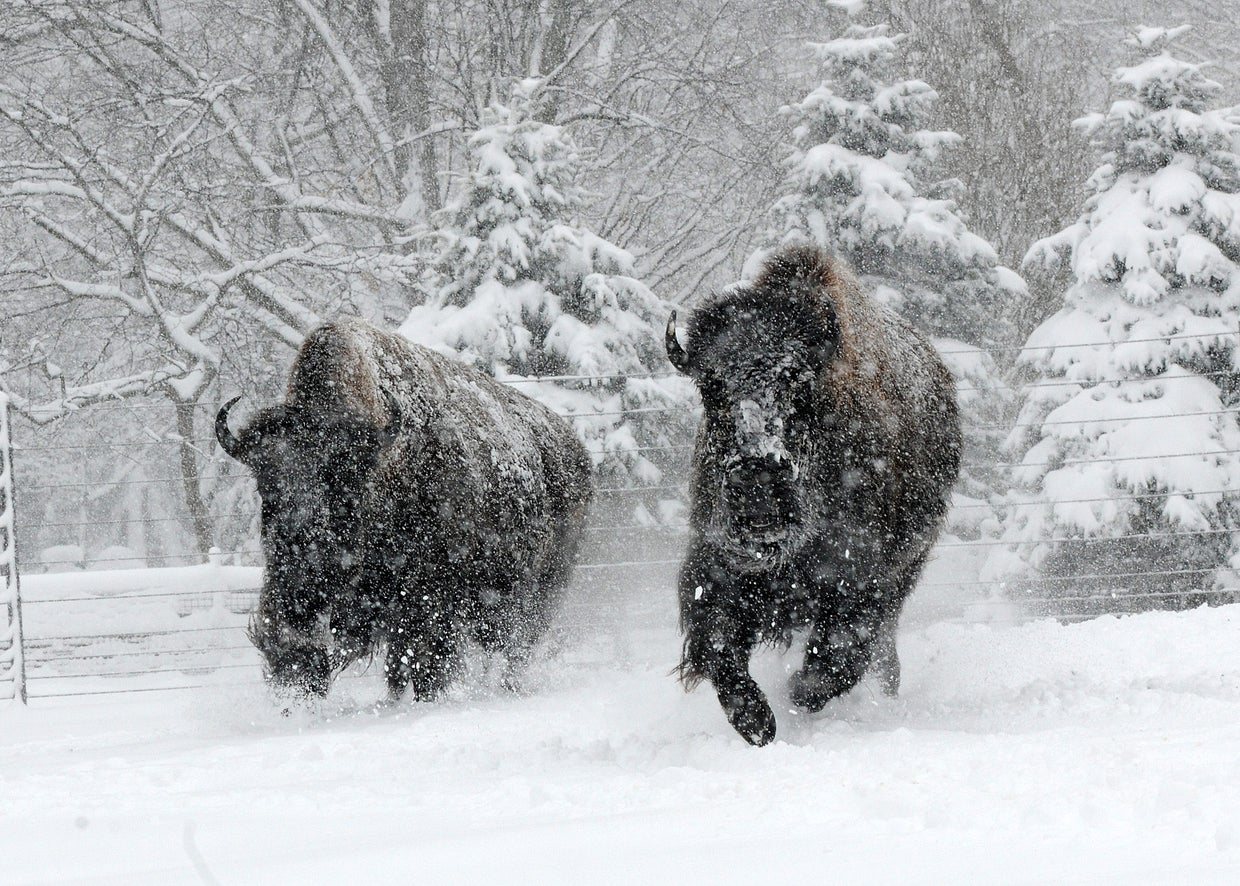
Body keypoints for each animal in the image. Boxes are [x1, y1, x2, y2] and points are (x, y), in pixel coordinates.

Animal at [216, 318, 592, 701]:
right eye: (265, 486)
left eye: (346, 482)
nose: (301, 548)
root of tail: (576, 449)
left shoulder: (431, 600)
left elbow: (428, 661)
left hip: (543, 588)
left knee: (518, 646)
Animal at [666, 245, 961, 745]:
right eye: (711, 386)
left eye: (796, 380)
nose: (757, 477)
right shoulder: (716, 564)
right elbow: (718, 643)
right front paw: (757, 724)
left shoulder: (861, 579)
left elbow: (837, 656)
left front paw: (797, 695)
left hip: (907, 569)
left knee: (881, 645)